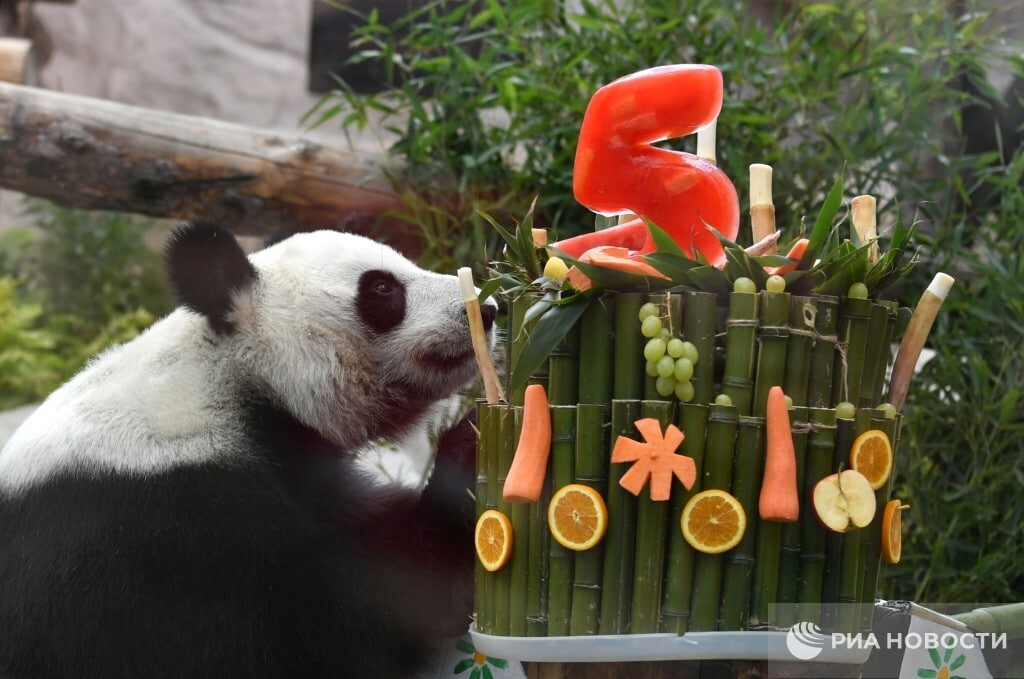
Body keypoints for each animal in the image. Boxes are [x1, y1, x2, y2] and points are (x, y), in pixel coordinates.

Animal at [0, 222, 495, 675]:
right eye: (381, 287)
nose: (487, 309)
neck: (233, 374)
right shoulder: (171, 521)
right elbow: (343, 617)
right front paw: (472, 453)